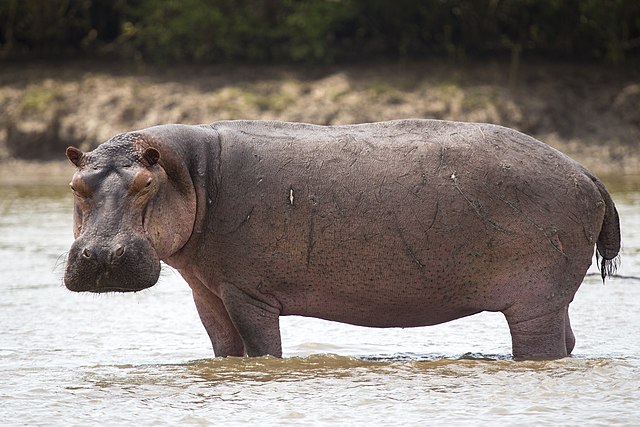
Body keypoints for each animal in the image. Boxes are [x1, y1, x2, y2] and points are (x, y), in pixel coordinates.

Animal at [64, 119, 620, 360]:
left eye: (144, 184)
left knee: (542, 345)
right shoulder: (208, 292)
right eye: (75, 185)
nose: (101, 256)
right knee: (568, 341)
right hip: (551, 298)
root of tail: (587, 172)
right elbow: (224, 350)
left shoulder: (248, 293)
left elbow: (262, 350)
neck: (192, 174)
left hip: (534, 301)